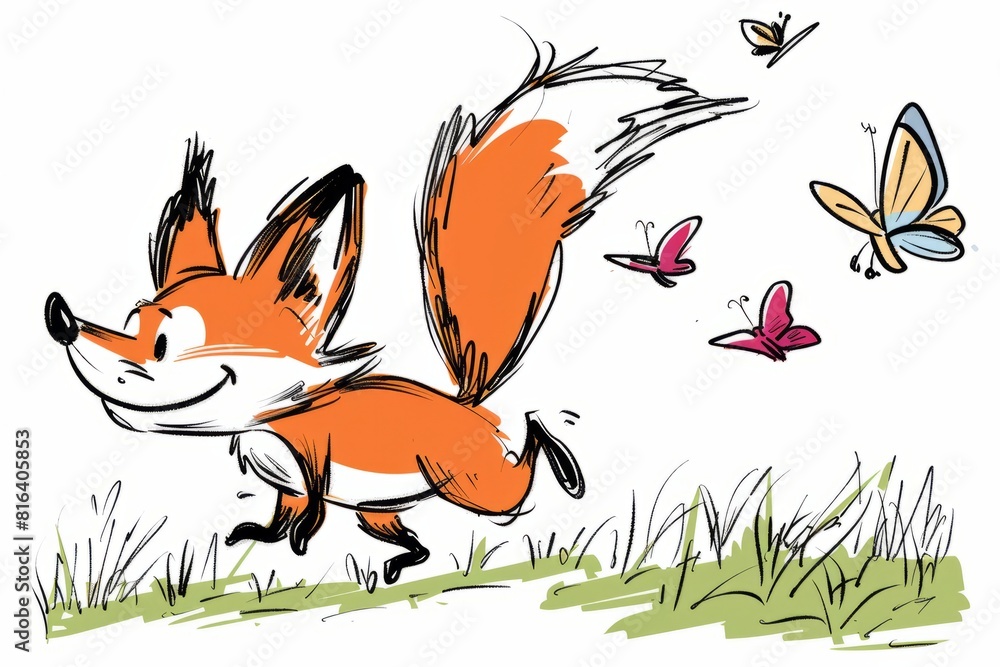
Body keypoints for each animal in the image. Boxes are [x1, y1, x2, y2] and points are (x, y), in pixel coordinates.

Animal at [44, 41, 747, 584]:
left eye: (163, 343)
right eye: (133, 321)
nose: (60, 319)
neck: (273, 418)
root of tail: (467, 403)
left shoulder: (314, 462)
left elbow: (309, 514)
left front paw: (298, 545)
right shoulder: (286, 479)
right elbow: (281, 516)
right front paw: (266, 539)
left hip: (466, 486)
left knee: (518, 474)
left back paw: (554, 458)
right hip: (382, 509)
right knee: (415, 540)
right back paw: (402, 562)